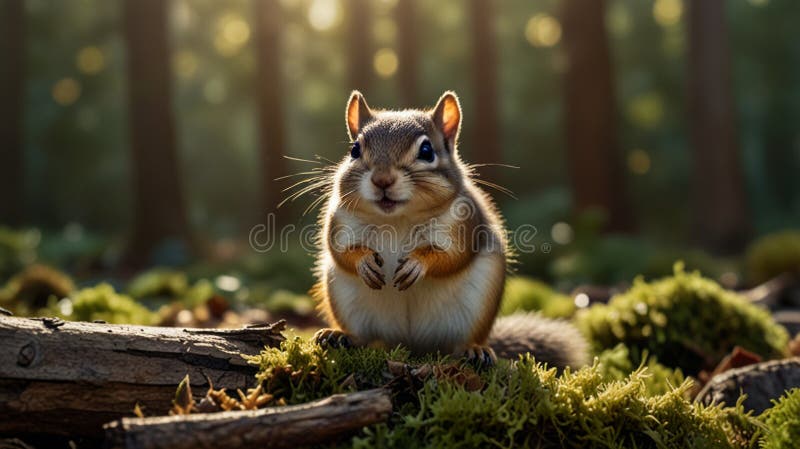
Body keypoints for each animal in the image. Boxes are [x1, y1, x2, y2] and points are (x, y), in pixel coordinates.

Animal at [310, 90, 588, 369]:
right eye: (354, 150)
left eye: (426, 150)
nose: (382, 180)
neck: (398, 219)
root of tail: (410, 344)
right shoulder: (340, 221)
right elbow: (340, 252)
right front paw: (364, 261)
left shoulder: (462, 222)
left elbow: (453, 257)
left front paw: (418, 262)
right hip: (342, 297)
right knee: (364, 337)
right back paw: (340, 336)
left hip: (476, 308)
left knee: (461, 342)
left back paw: (474, 350)